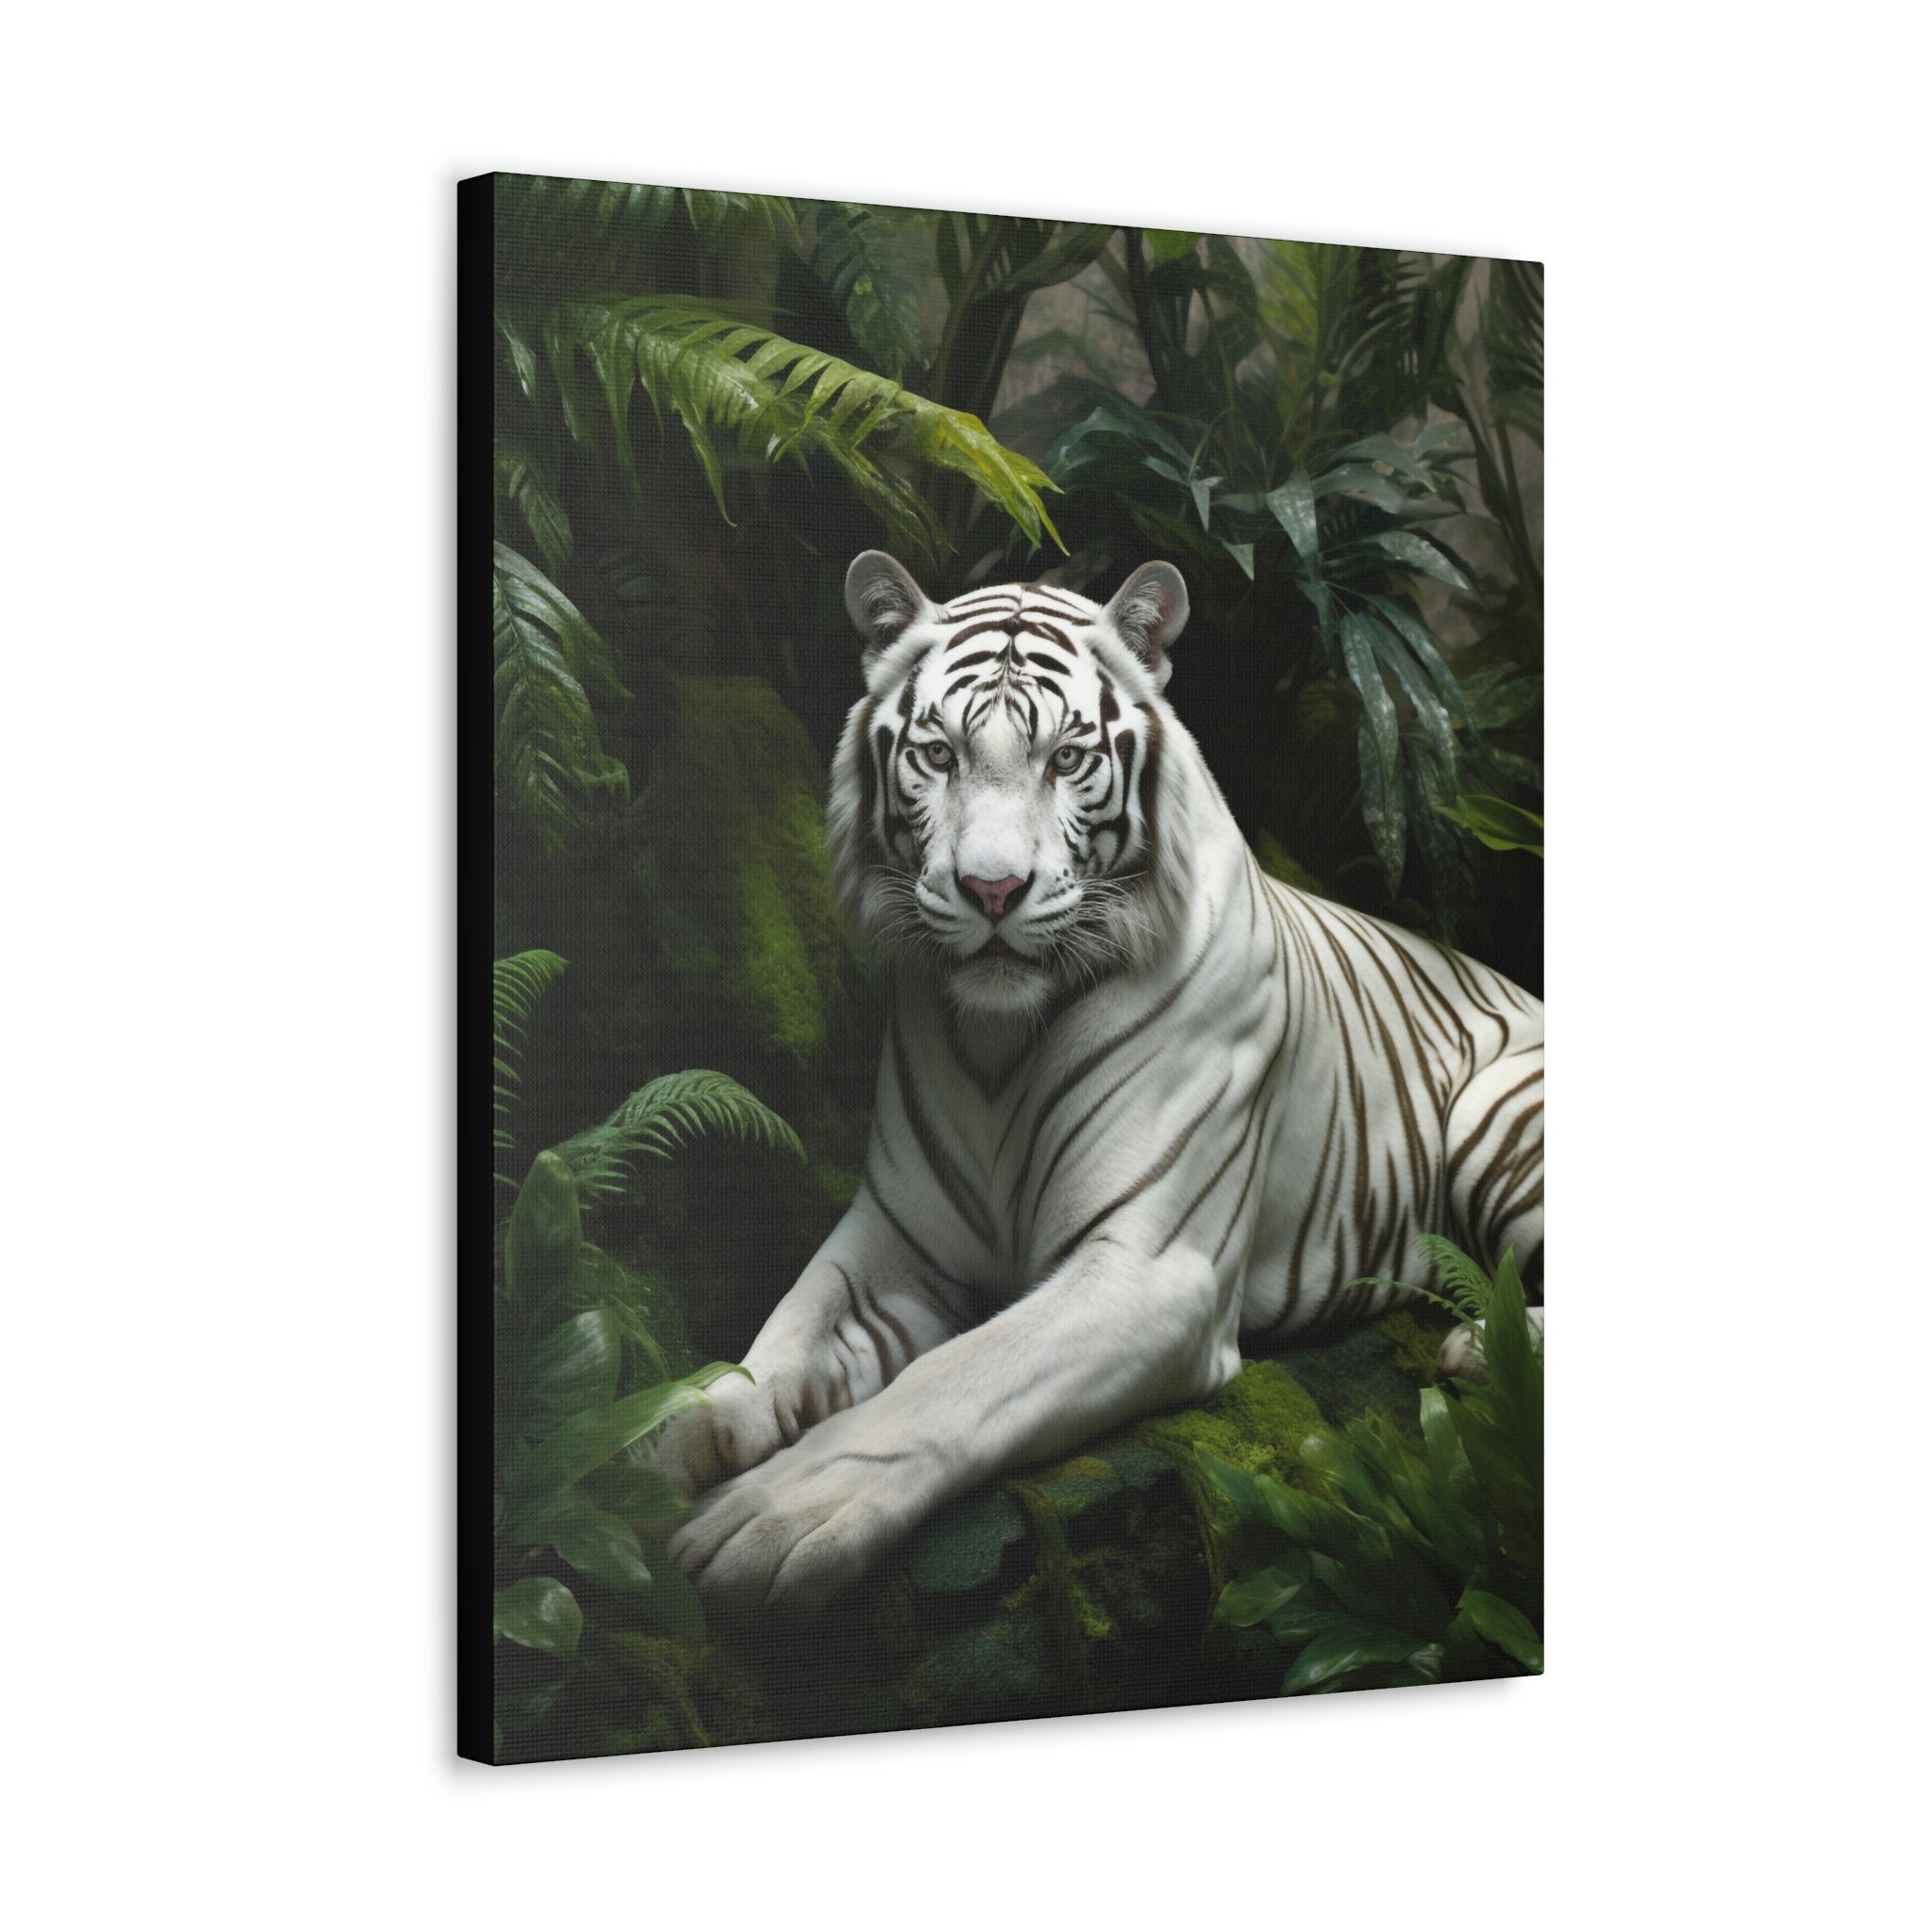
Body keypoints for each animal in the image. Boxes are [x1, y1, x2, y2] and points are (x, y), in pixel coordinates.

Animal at [658, 551, 1544, 1615]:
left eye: (1066, 759)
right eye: (938, 755)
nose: (990, 890)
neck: (999, 1038)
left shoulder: (1146, 1267)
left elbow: (952, 1379)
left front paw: (771, 1515)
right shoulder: (897, 1239)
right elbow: (787, 1325)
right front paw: (684, 1428)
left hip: (1496, 1111)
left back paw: (1478, 1349)